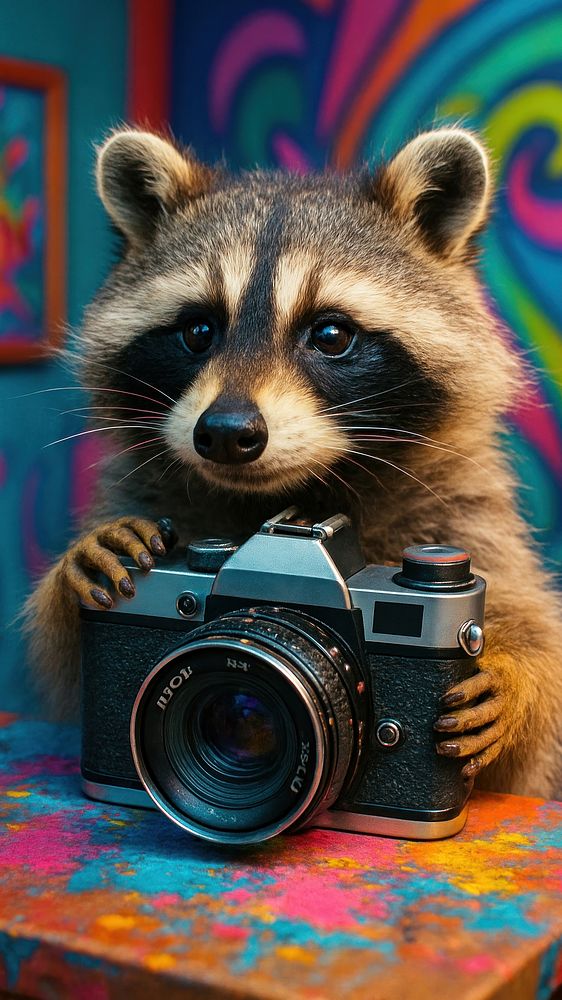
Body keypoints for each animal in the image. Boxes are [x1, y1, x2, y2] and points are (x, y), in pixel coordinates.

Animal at [26, 126, 562, 799]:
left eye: (330, 335)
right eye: (198, 330)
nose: (227, 433)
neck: (292, 500)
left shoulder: (464, 512)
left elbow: (531, 730)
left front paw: (515, 679)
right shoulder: (145, 494)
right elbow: (72, 684)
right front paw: (81, 565)